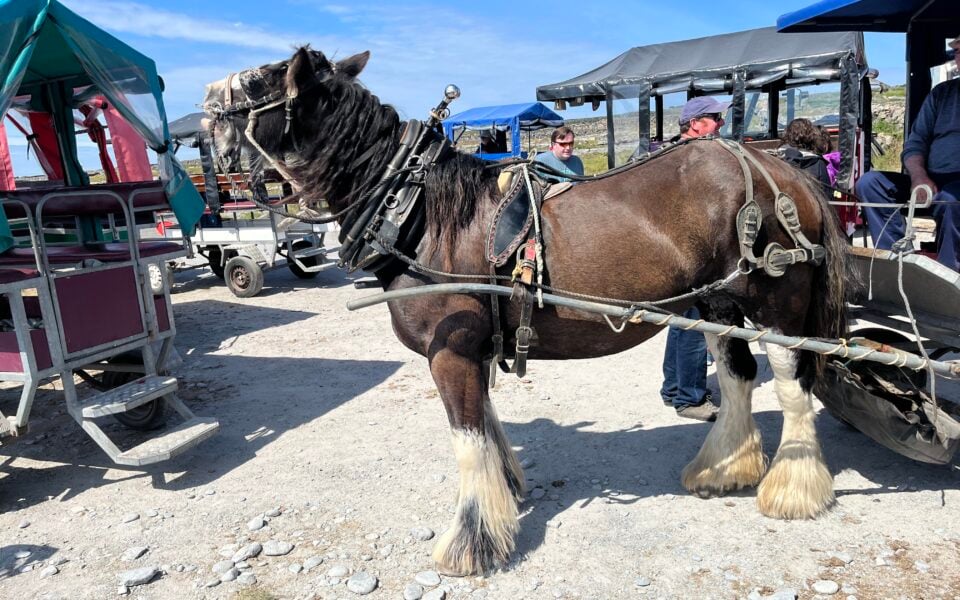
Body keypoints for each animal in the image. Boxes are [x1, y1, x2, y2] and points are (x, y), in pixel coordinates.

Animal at [202, 46, 848, 576]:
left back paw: (793, 488)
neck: (414, 211)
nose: (204, 111)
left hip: (777, 304)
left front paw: (471, 542)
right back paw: (723, 467)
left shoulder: (451, 352)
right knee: (738, 375)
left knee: (790, 384)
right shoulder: (473, 350)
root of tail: (782, 168)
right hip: (714, 302)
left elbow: (467, 440)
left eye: (255, 83)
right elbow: (486, 428)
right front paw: (505, 495)